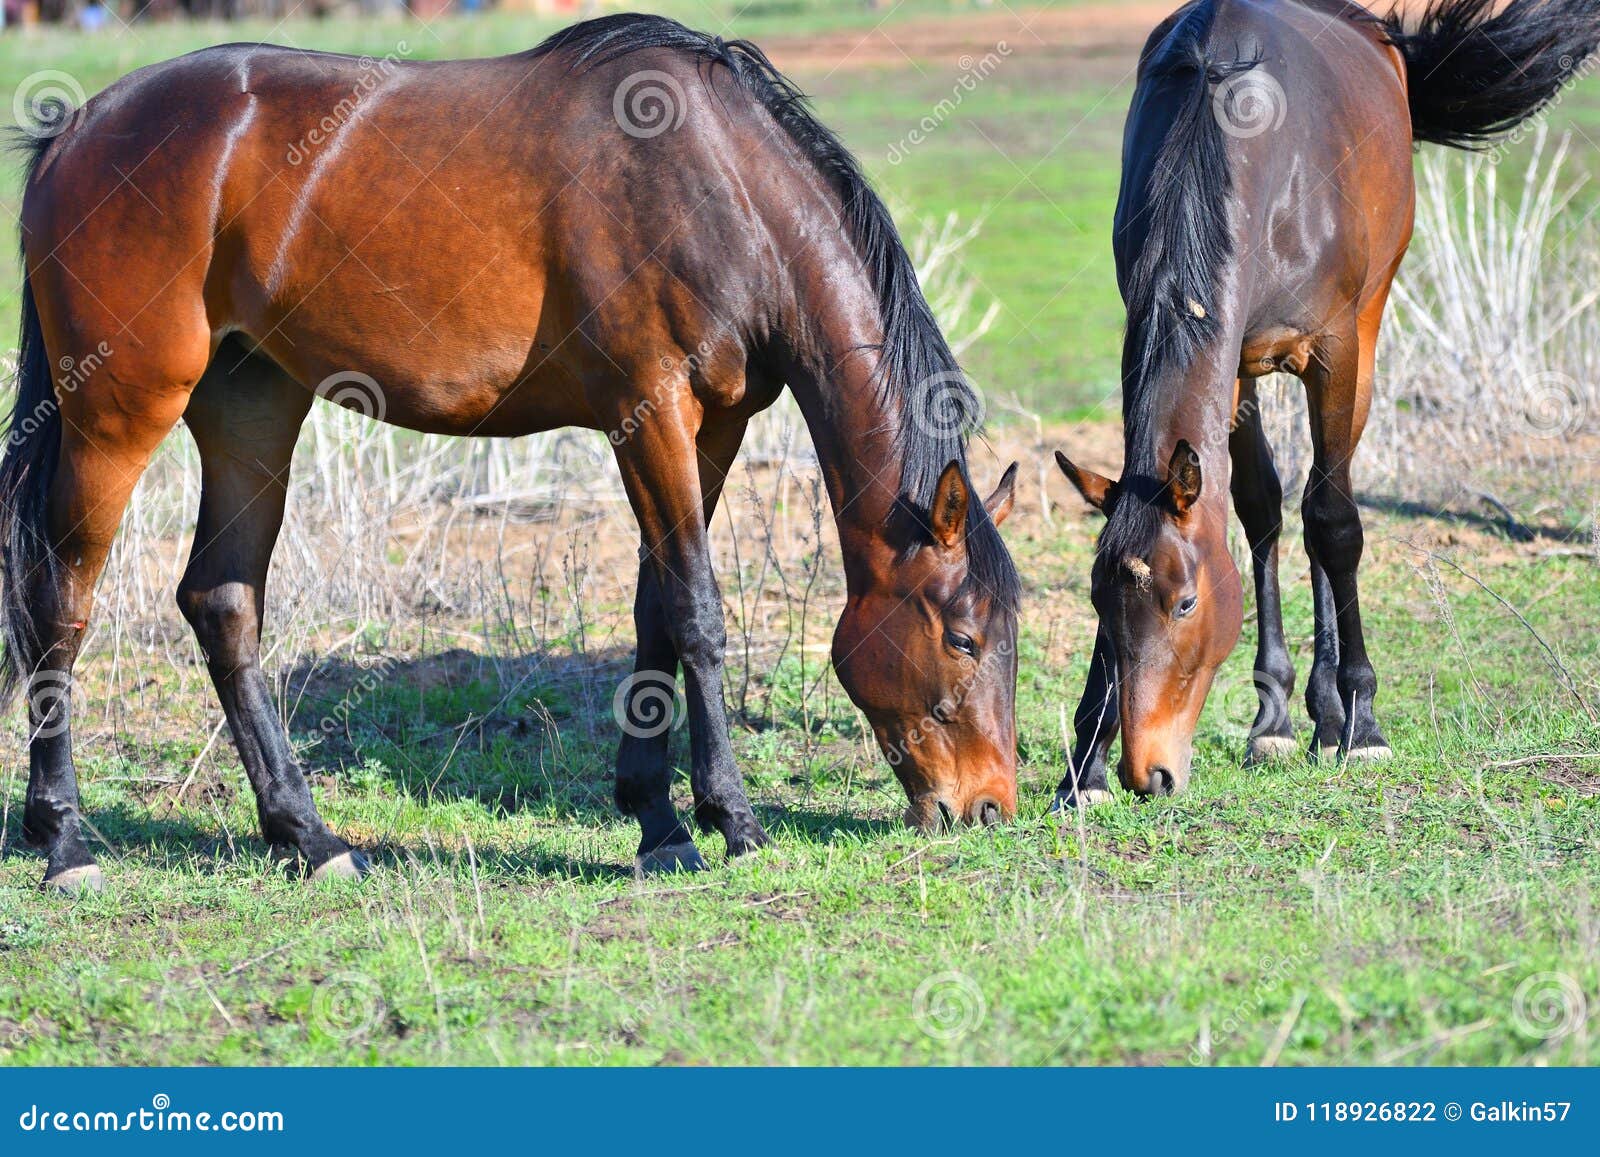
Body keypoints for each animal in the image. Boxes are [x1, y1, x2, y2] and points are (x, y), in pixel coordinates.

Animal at [0, 14, 1023, 893]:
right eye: (964, 637)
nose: (989, 807)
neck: (719, 183)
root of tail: (74, 129)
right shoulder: (650, 410)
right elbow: (697, 613)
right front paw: (730, 817)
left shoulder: (713, 427)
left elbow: (656, 609)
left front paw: (657, 821)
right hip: (119, 412)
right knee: (61, 600)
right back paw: (65, 841)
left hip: (250, 411)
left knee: (221, 603)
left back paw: (308, 835)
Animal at [1053, 0, 1600, 803]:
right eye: (1098, 601)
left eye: (1186, 602)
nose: (1146, 772)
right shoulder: (1215, 355)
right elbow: (1250, 506)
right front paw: (1086, 765)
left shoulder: (1336, 351)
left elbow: (1336, 524)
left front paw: (1363, 723)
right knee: (1272, 508)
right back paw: (1281, 715)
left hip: (1365, 338)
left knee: (1325, 506)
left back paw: (1333, 714)